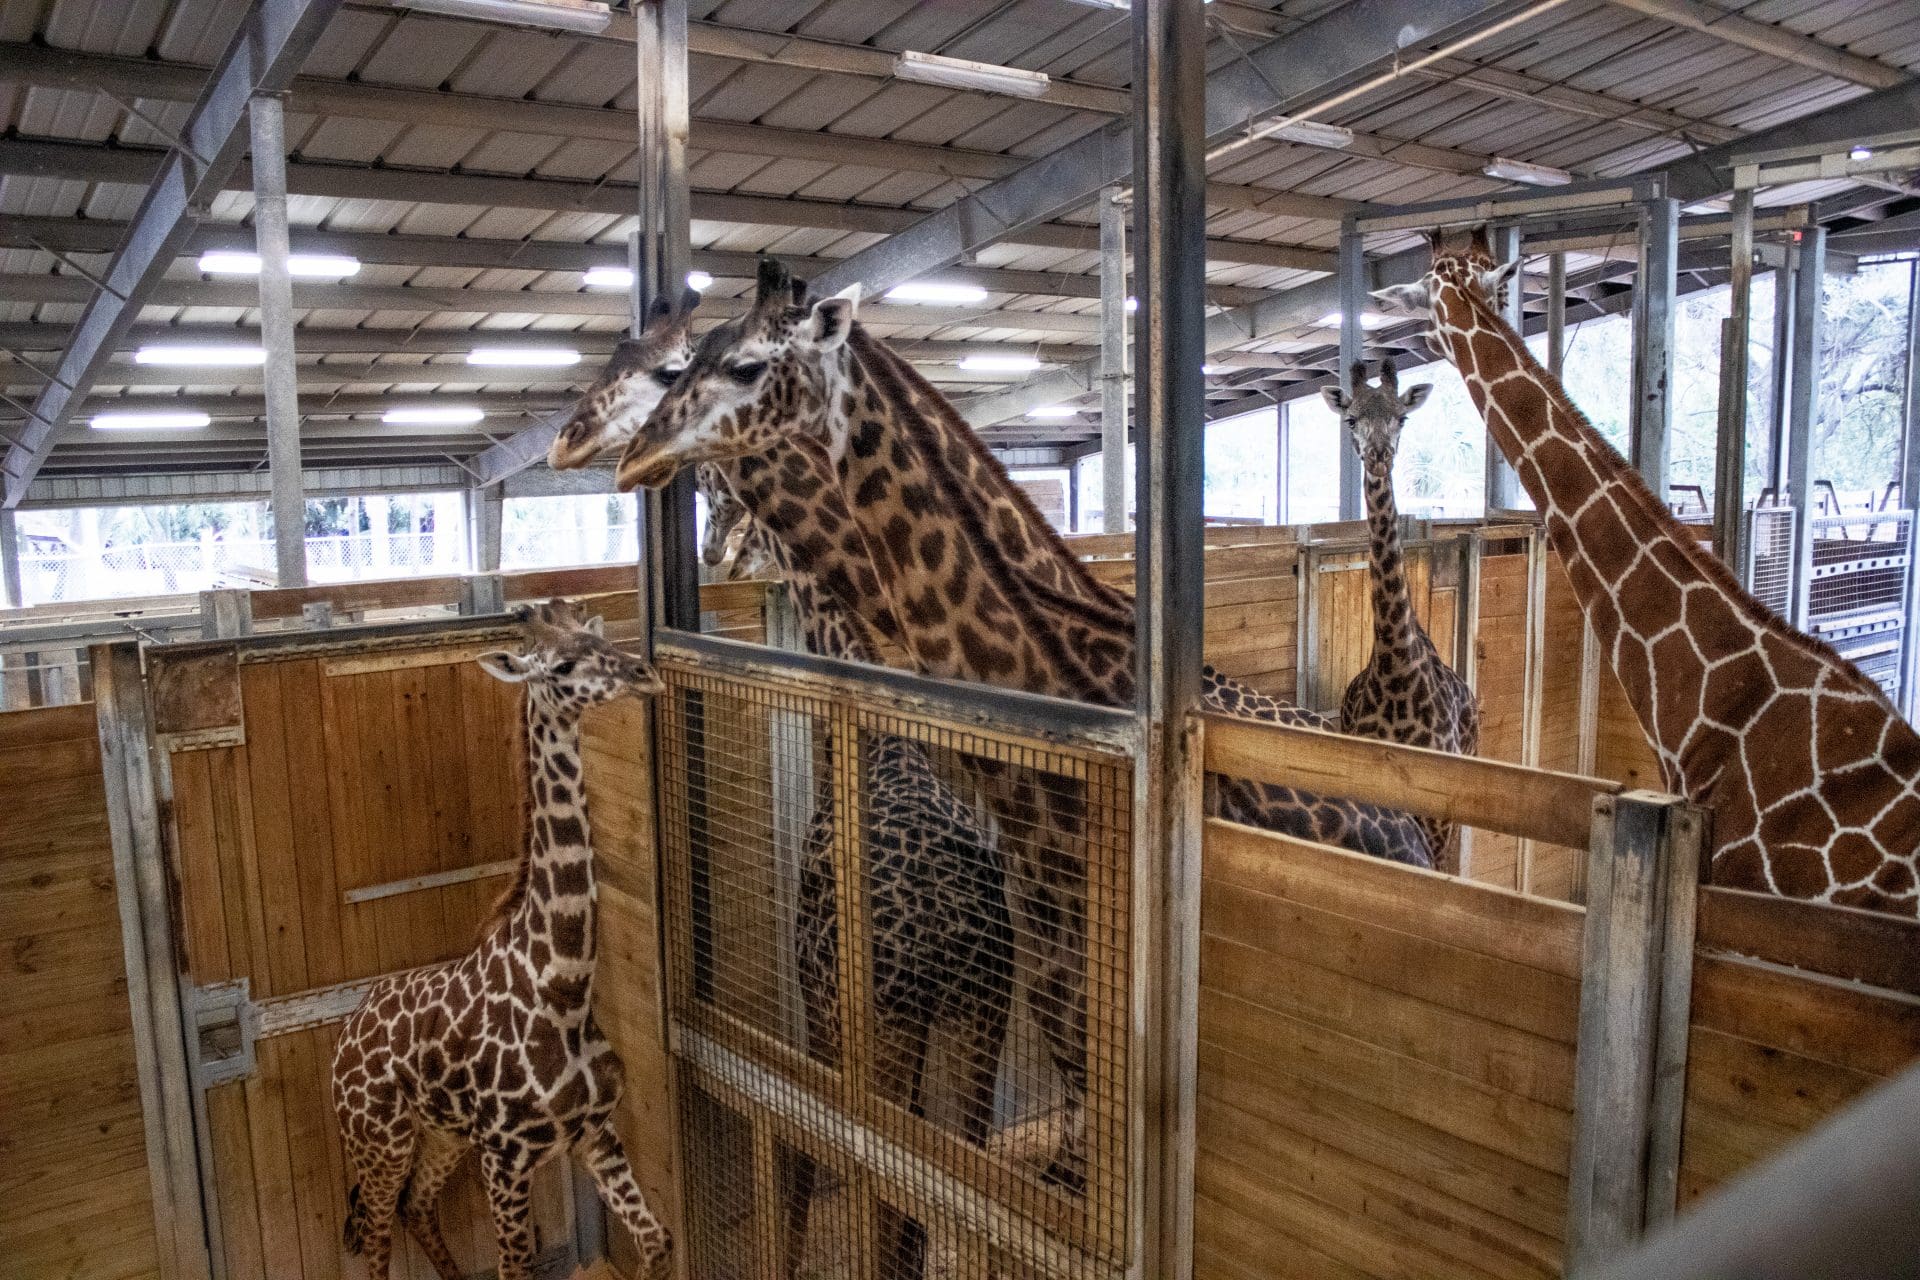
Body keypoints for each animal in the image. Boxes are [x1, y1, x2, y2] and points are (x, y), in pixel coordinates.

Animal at [329, 600, 672, 1280]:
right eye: (561, 665)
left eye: (596, 638)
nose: (644, 673)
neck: (563, 989)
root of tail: (341, 1044)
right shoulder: (507, 1157)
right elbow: (517, 1267)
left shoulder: (595, 1133)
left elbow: (655, 1243)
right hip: (380, 1140)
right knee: (377, 1235)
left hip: (441, 1134)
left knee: (416, 1206)